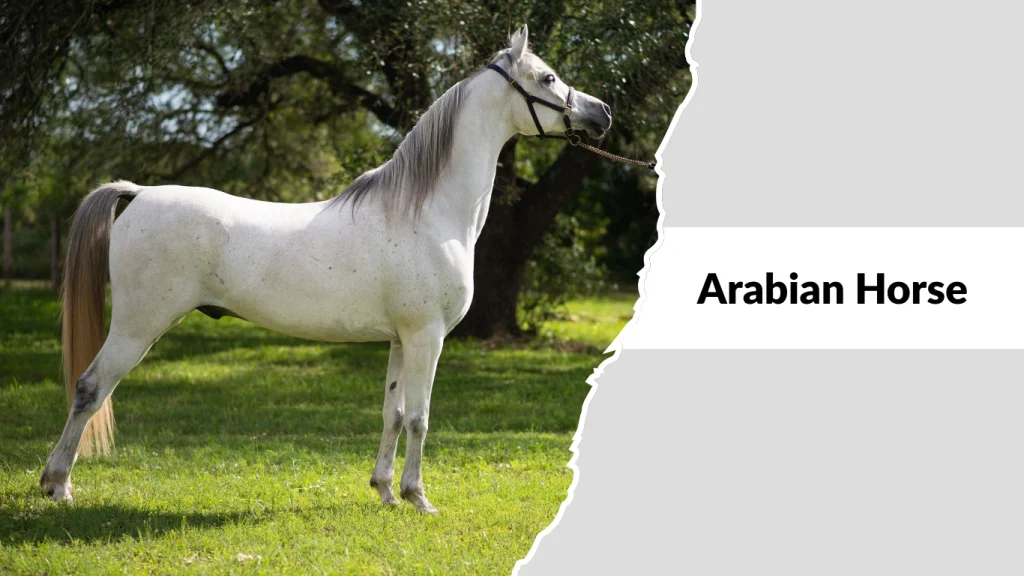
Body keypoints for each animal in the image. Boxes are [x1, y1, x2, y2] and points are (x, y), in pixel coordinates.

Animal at [39, 24, 612, 513]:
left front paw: (385, 492)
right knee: (90, 389)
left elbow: (393, 414)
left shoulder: (401, 339)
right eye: (547, 78)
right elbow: (420, 418)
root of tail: (138, 193)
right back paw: (58, 484)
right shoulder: (426, 337)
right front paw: (418, 497)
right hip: (137, 327)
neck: (427, 210)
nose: (603, 112)